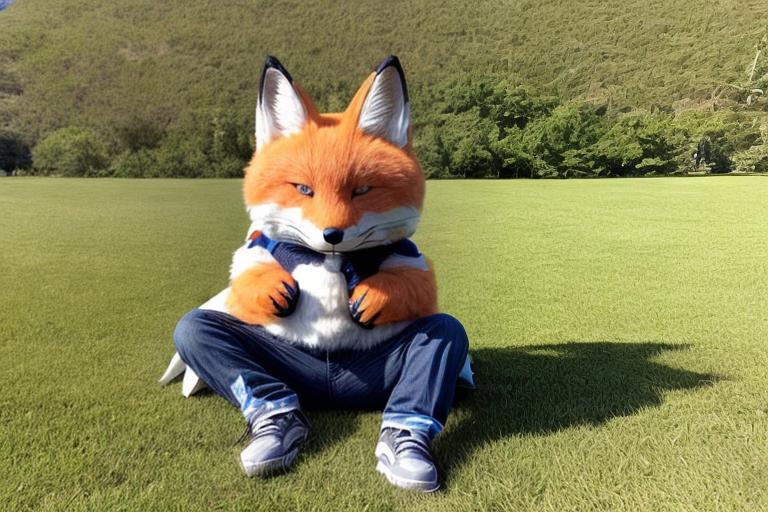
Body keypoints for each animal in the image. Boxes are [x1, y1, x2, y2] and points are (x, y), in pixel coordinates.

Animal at [224, 55, 438, 350]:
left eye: (362, 190)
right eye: (304, 189)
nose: (333, 235)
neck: (330, 261)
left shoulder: (411, 259)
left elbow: (416, 283)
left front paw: (375, 297)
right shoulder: (257, 248)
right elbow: (243, 273)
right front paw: (270, 287)